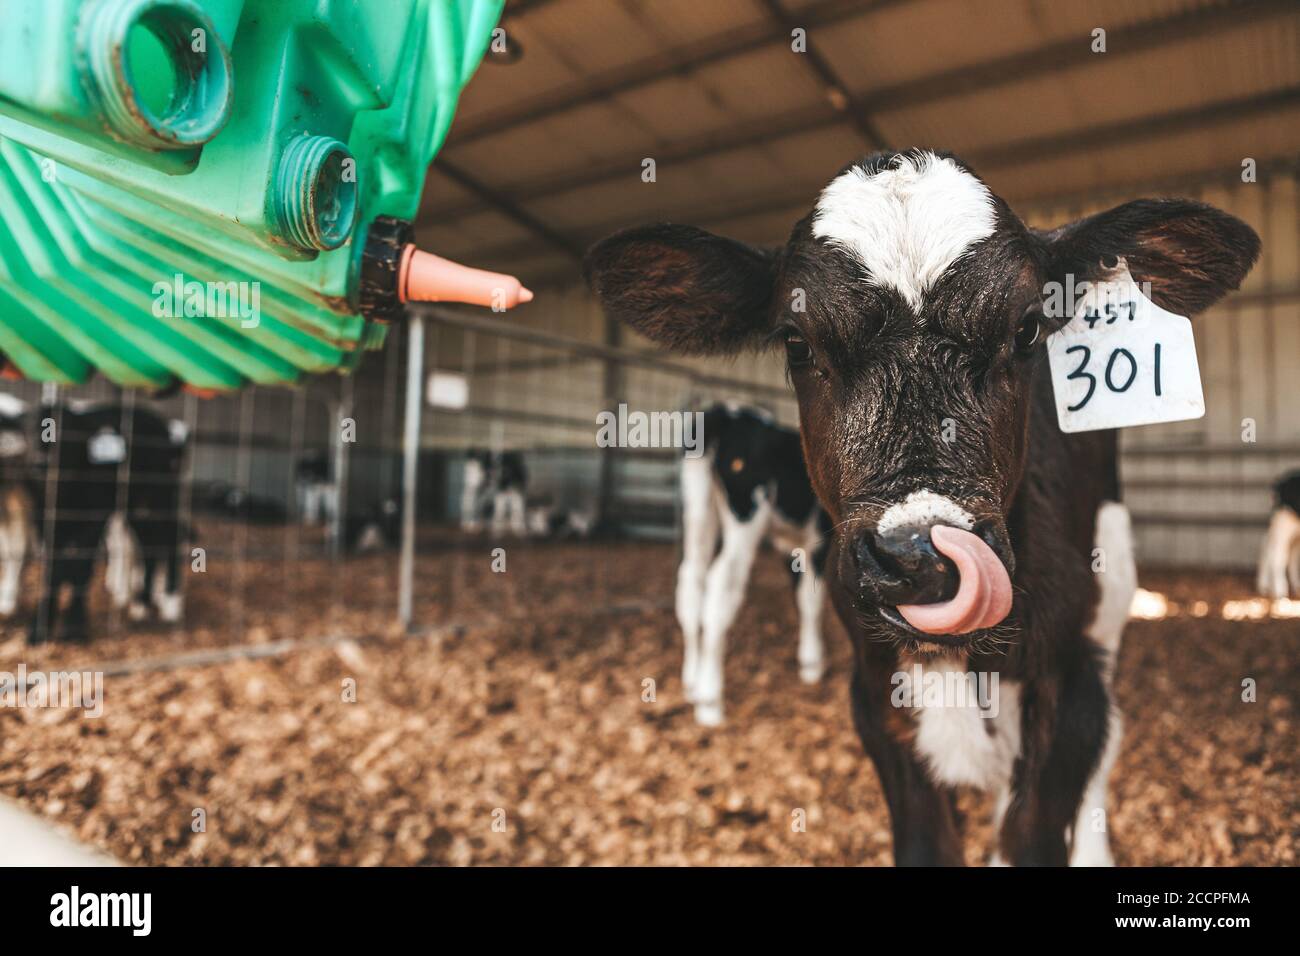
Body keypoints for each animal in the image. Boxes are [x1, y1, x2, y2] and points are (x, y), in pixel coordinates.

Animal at [676, 403, 831, 726]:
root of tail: (727, 412)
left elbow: (801, 597)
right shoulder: (819, 539)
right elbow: (811, 600)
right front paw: (812, 664)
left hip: (698, 511)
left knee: (691, 579)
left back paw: (692, 680)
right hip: (746, 515)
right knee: (720, 586)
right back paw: (709, 700)